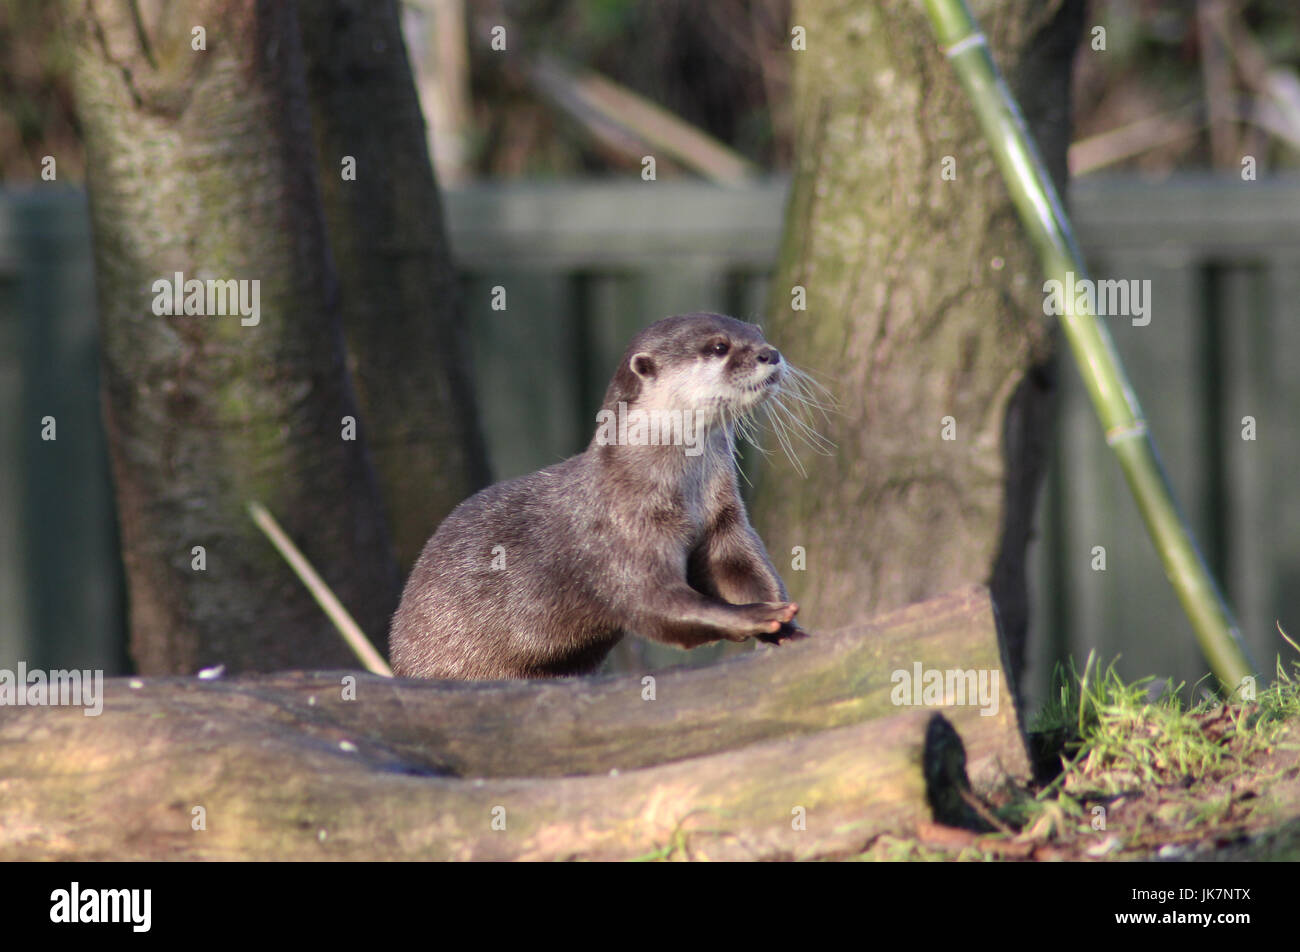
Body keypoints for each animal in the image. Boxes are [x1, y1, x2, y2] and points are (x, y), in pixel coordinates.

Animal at [389, 312, 810, 680]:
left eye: (757, 332)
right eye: (719, 347)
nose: (769, 353)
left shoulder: (723, 520)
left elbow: (742, 570)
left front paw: (787, 627)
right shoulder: (619, 536)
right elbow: (656, 603)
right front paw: (753, 616)